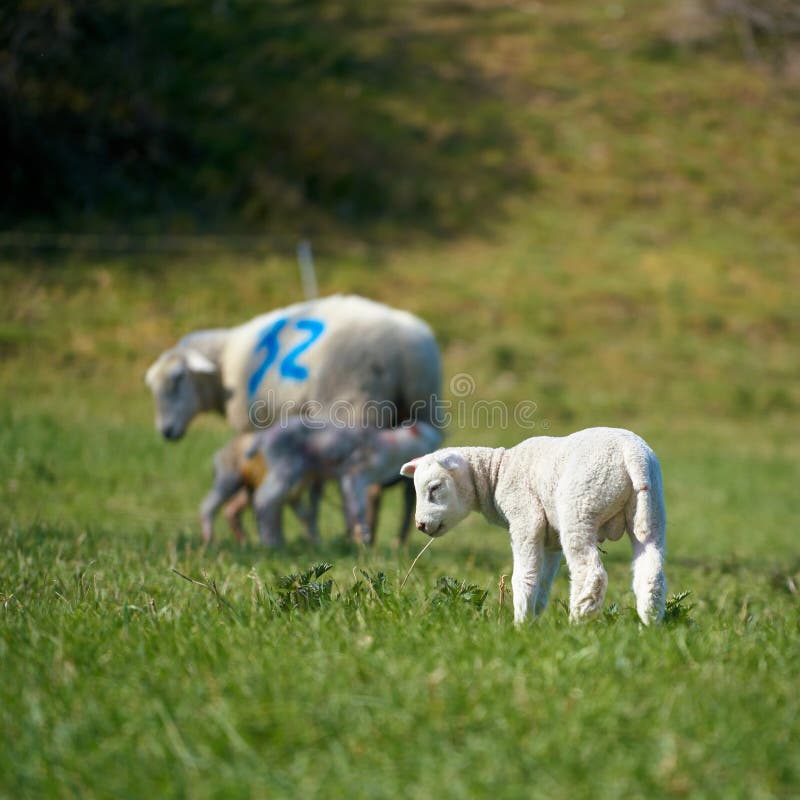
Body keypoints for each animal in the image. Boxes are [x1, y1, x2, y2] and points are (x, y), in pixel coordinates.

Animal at [250, 418, 443, 547]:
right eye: (430, 435)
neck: (391, 449)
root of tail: (263, 437)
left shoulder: (359, 480)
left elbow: (352, 505)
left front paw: (356, 537)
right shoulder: (354, 472)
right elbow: (358, 507)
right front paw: (364, 538)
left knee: (285, 501)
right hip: (286, 466)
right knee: (264, 499)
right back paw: (270, 541)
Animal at [400, 427, 667, 626]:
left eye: (435, 487)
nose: (421, 525)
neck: (496, 474)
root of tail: (632, 454)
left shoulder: (526, 519)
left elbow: (524, 577)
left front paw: (519, 624)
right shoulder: (550, 542)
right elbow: (543, 584)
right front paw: (533, 621)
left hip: (581, 506)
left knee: (591, 574)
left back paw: (578, 624)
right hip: (651, 511)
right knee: (651, 573)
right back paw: (648, 626)